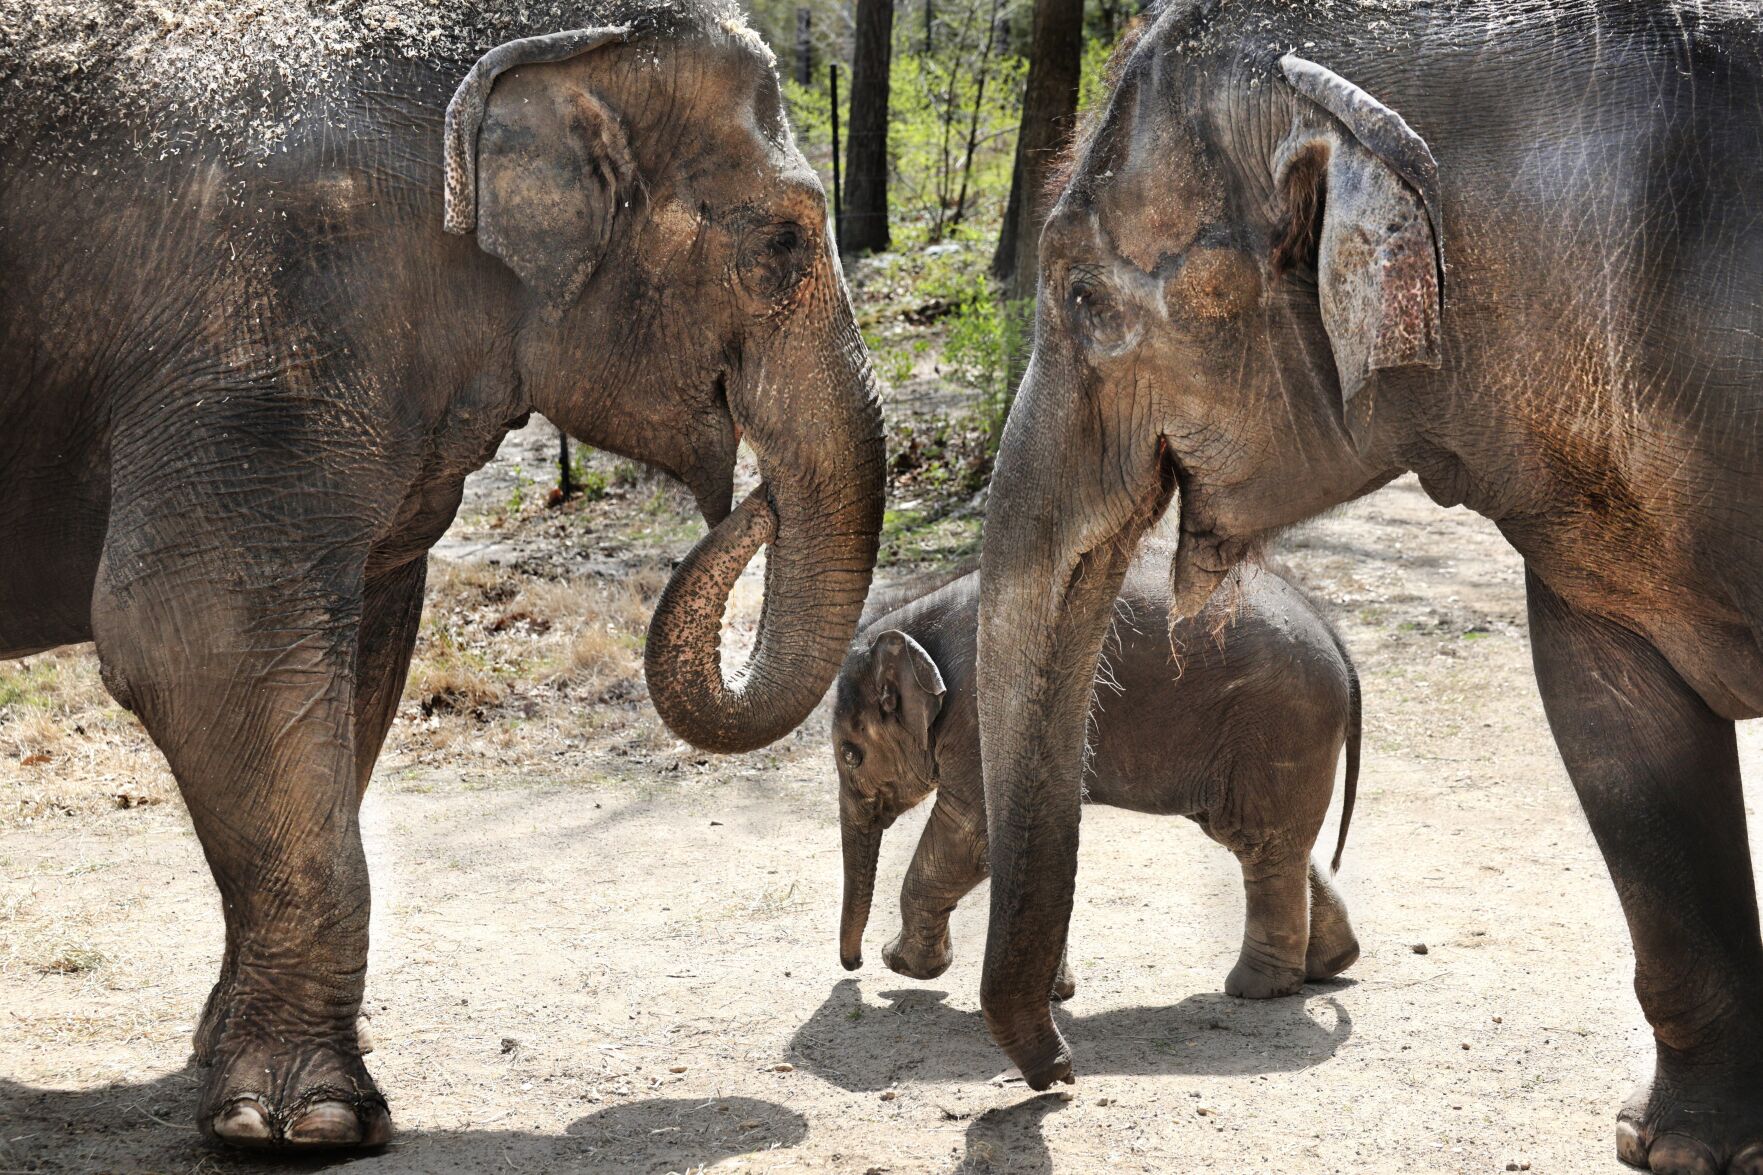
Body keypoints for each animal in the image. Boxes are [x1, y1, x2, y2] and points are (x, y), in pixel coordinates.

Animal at [0, 0, 883, 1151]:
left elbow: (363, 654)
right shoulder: (266, 318)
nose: (755, 492)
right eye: (780, 242)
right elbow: (191, 636)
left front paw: (226, 1064)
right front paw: (310, 1122)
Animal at [833, 550, 1361, 1002]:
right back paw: (1331, 964)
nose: (854, 967)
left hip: (1276, 728)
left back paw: (1255, 990)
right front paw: (1054, 993)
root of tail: (1336, 639)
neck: (915, 622)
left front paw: (905, 967)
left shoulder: (988, 716)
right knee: (1265, 839)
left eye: (850, 755)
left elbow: (975, 835)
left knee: (1259, 843)